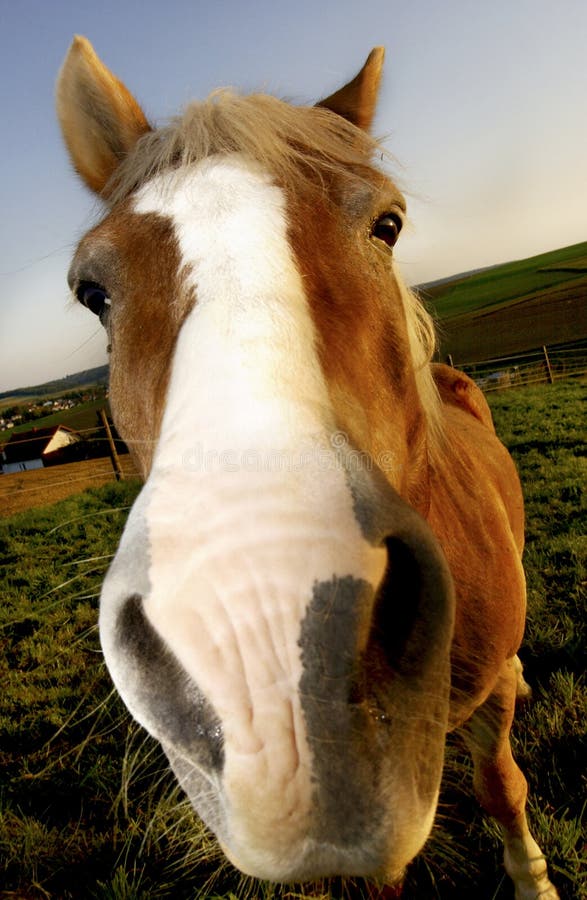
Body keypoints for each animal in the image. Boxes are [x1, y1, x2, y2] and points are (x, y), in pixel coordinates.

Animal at [56, 37, 558, 898]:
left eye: (386, 224)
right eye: (93, 291)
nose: (266, 633)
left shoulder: (484, 698)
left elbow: (501, 784)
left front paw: (532, 879)